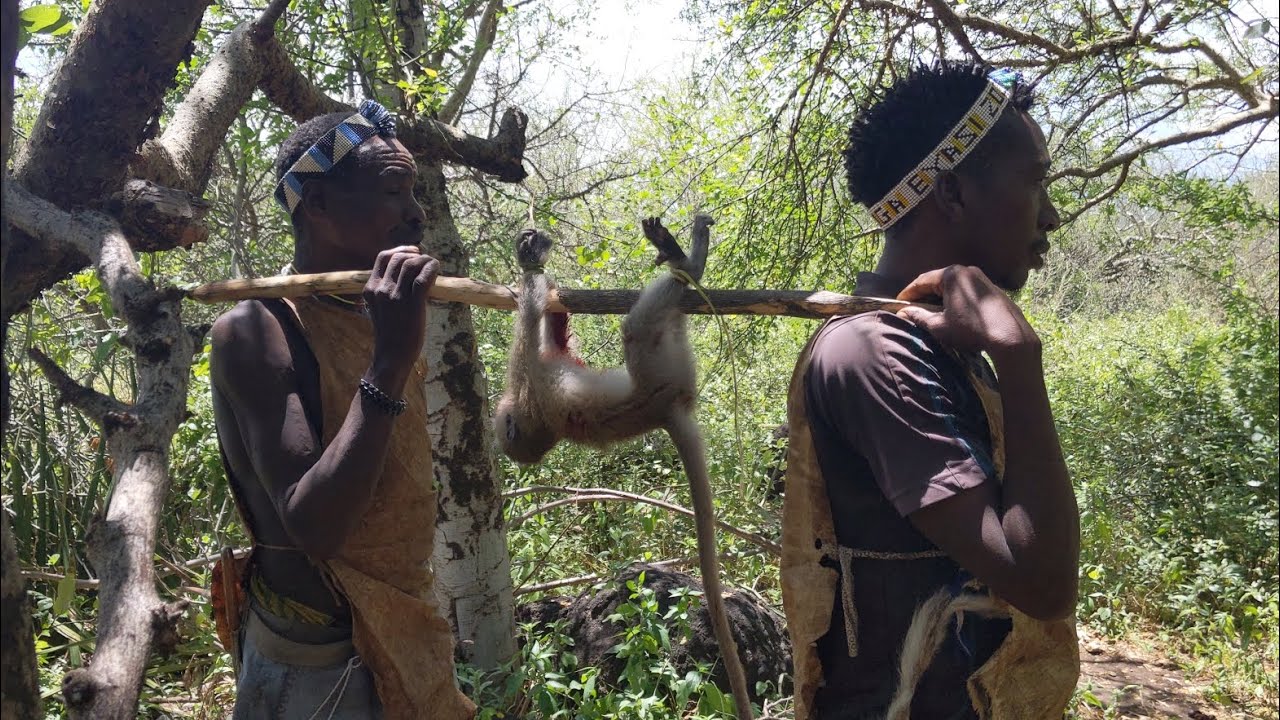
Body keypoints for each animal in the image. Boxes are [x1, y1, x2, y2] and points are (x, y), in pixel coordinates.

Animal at [494, 216, 755, 720]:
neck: (541, 423)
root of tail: (665, 411)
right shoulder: (534, 390)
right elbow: (530, 332)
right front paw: (532, 265)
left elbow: (549, 333)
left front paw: (544, 280)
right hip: (662, 364)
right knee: (635, 328)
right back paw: (688, 262)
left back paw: (677, 254)